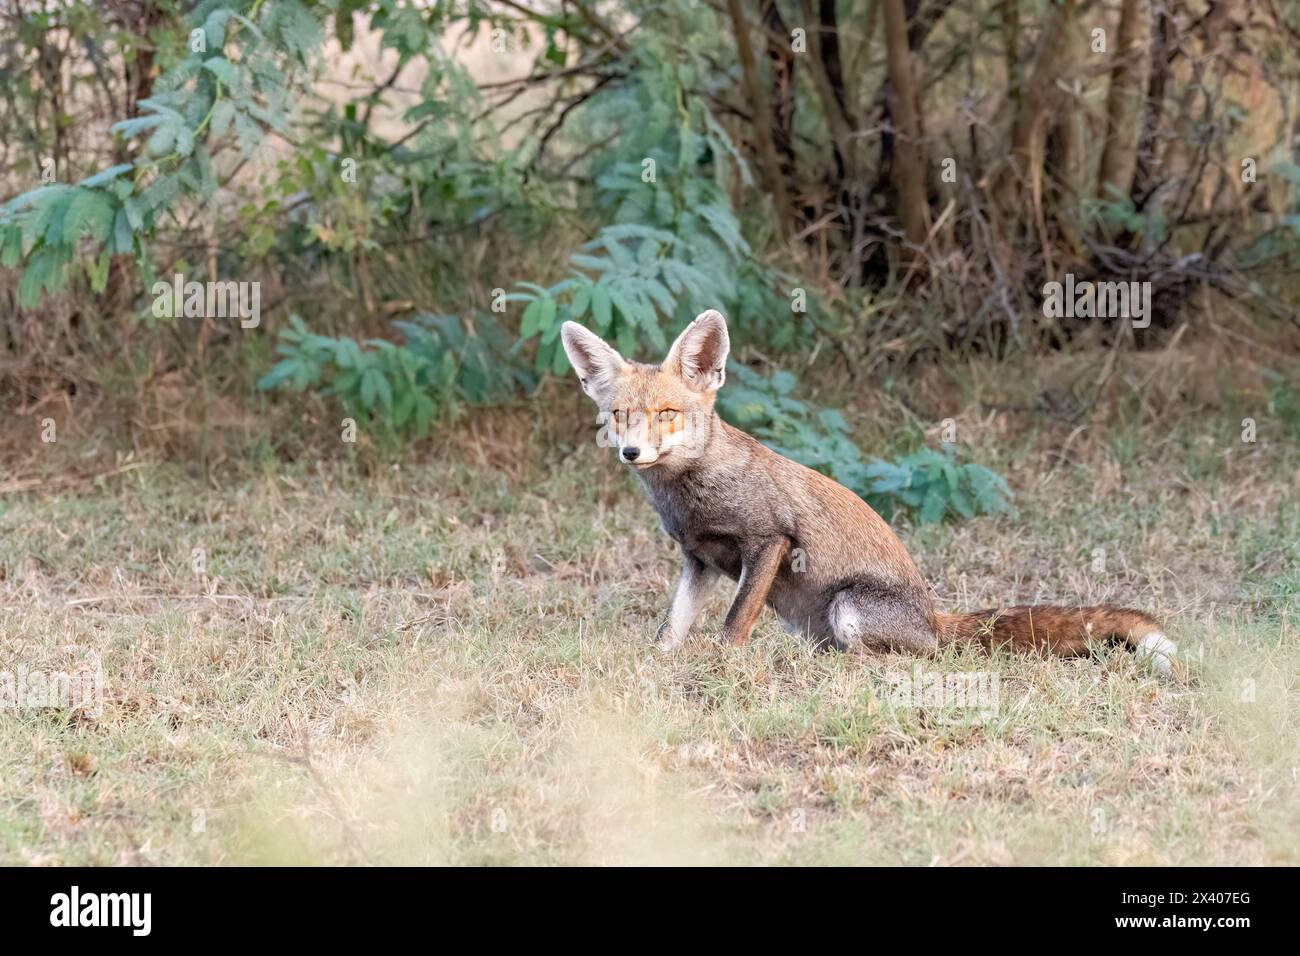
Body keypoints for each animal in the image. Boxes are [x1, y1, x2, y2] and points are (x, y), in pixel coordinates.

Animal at [560, 309, 1178, 676]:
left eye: (667, 414)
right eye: (618, 416)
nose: (631, 453)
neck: (694, 494)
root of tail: (934, 621)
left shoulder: (769, 540)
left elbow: (734, 624)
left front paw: (721, 668)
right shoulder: (700, 560)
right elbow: (671, 627)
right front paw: (660, 664)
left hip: (848, 608)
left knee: (888, 663)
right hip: (814, 625)